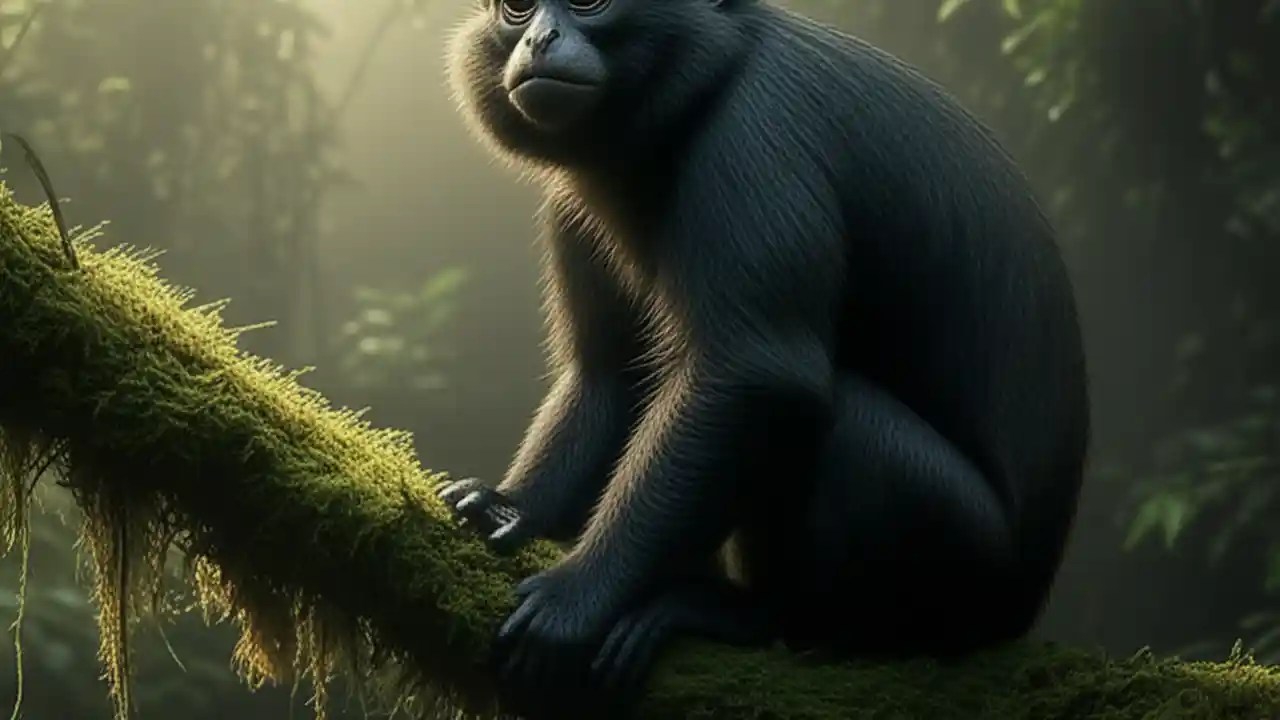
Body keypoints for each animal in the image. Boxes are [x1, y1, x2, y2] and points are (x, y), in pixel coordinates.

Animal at [434, 0, 1090, 715]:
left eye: (589, 6)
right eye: (517, 11)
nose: (540, 37)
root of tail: (1025, 608)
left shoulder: (758, 130)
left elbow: (756, 374)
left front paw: (578, 598)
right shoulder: (576, 198)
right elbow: (608, 376)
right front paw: (512, 507)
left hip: (971, 569)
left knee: (848, 424)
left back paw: (753, 618)